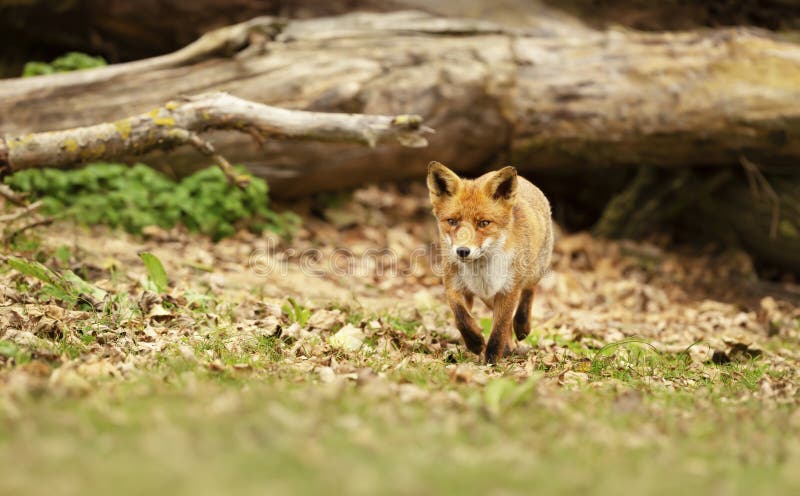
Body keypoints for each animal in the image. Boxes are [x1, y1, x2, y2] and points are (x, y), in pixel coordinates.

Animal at [427, 161, 553, 364]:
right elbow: (461, 317)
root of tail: (524, 180)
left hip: (534, 271)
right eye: (452, 221)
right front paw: (475, 342)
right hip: (487, 298)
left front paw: (491, 361)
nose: (462, 251)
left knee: (528, 293)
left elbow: (498, 329)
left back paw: (522, 327)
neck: (481, 272)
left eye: (484, 223)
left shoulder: (508, 290)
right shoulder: (454, 285)